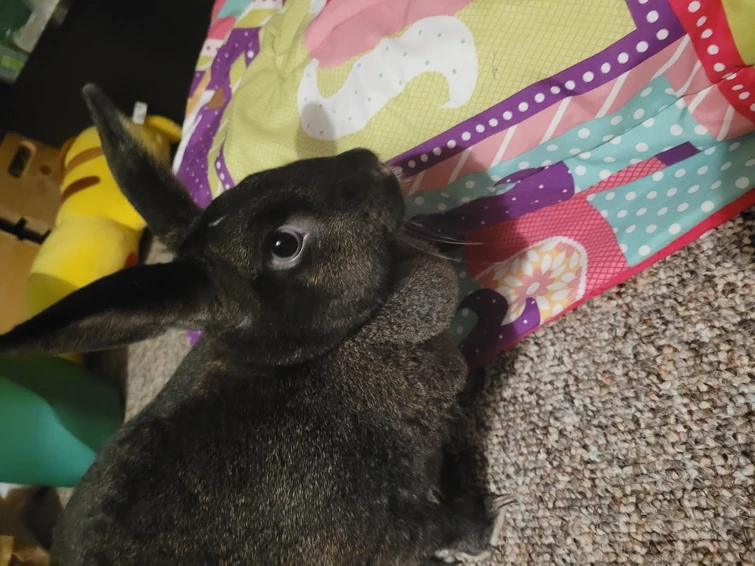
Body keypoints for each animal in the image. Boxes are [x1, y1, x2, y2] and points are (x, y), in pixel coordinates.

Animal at [0, 85, 504, 565]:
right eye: (284, 244)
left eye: (255, 179)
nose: (372, 165)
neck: (314, 357)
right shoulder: (386, 528)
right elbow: (444, 528)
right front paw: (486, 519)